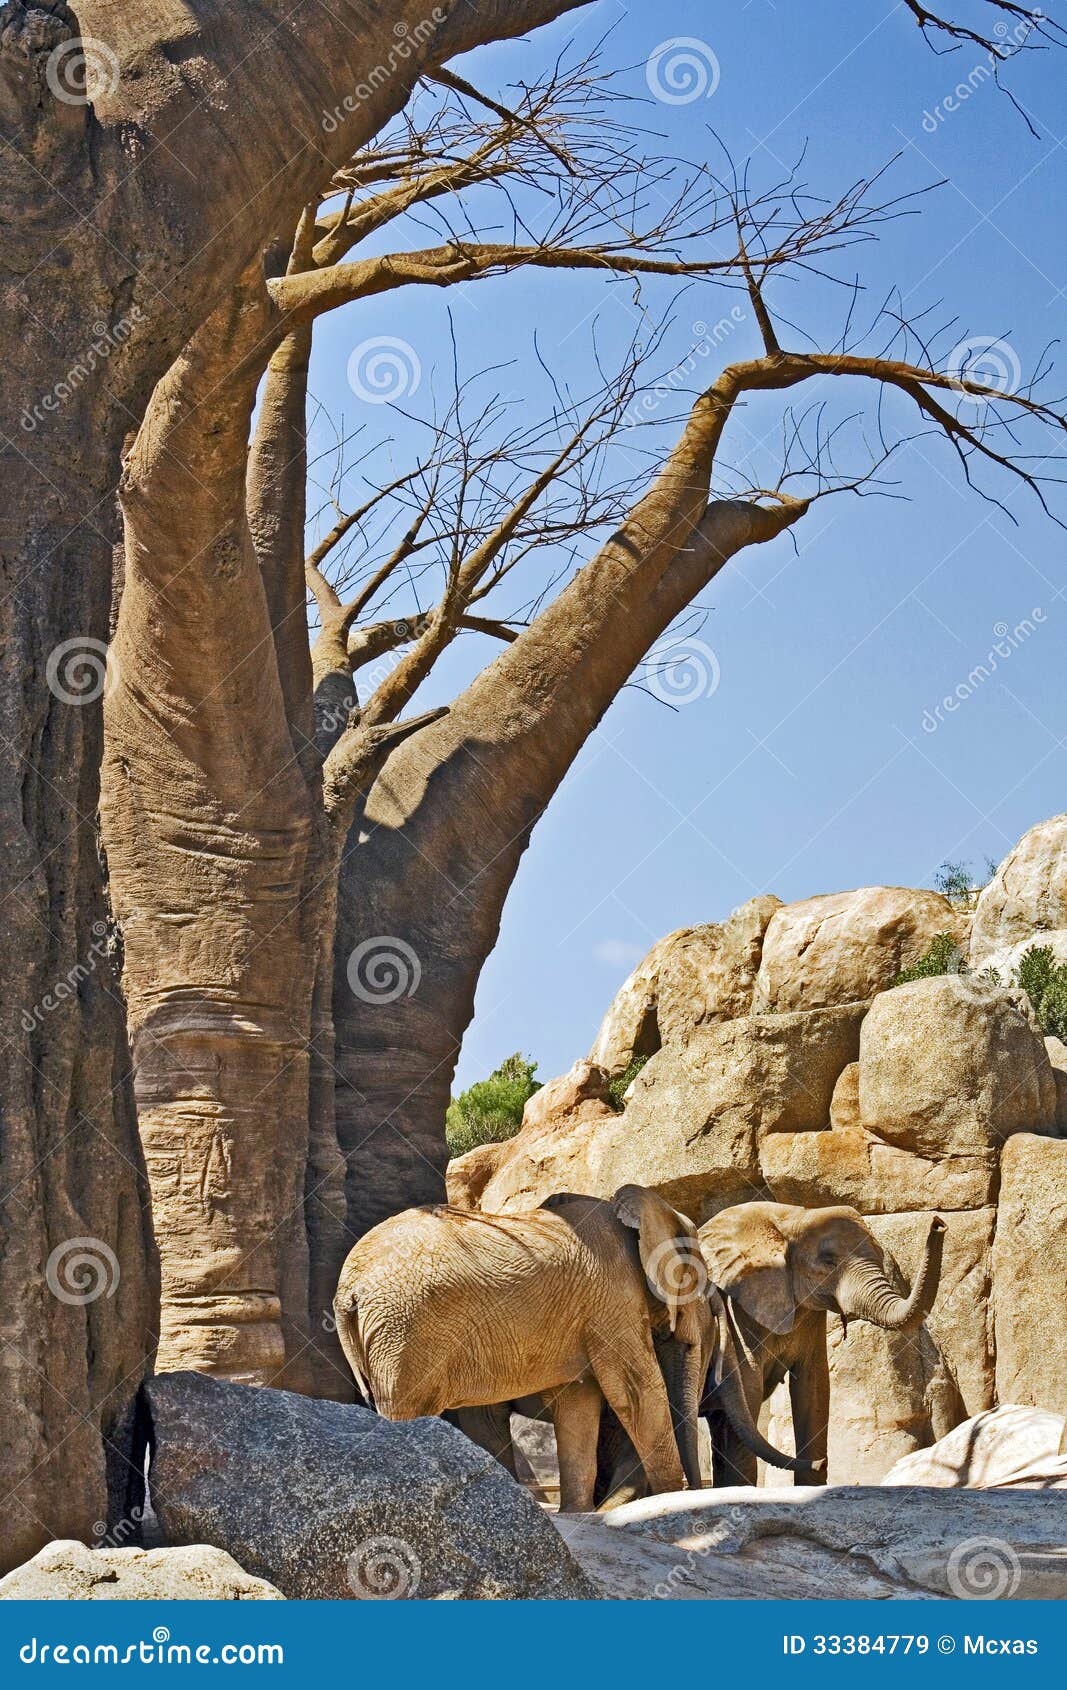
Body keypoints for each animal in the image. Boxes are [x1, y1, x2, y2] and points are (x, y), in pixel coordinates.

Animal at [334, 1185, 714, 1511]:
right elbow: (634, 1390)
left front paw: (577, 1513)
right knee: (409, 1410)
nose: (697, 1489)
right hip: (405, 1328)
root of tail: (348, 1288)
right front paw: (670, 1500)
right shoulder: (613, 1294)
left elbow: (577, 1400)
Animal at [697, 1201, 948, 1486]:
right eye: (828, 1262)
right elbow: (748, 1386)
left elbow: (813, 1385)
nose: (938, 1223)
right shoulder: (737, 1310)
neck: (790, 1217)